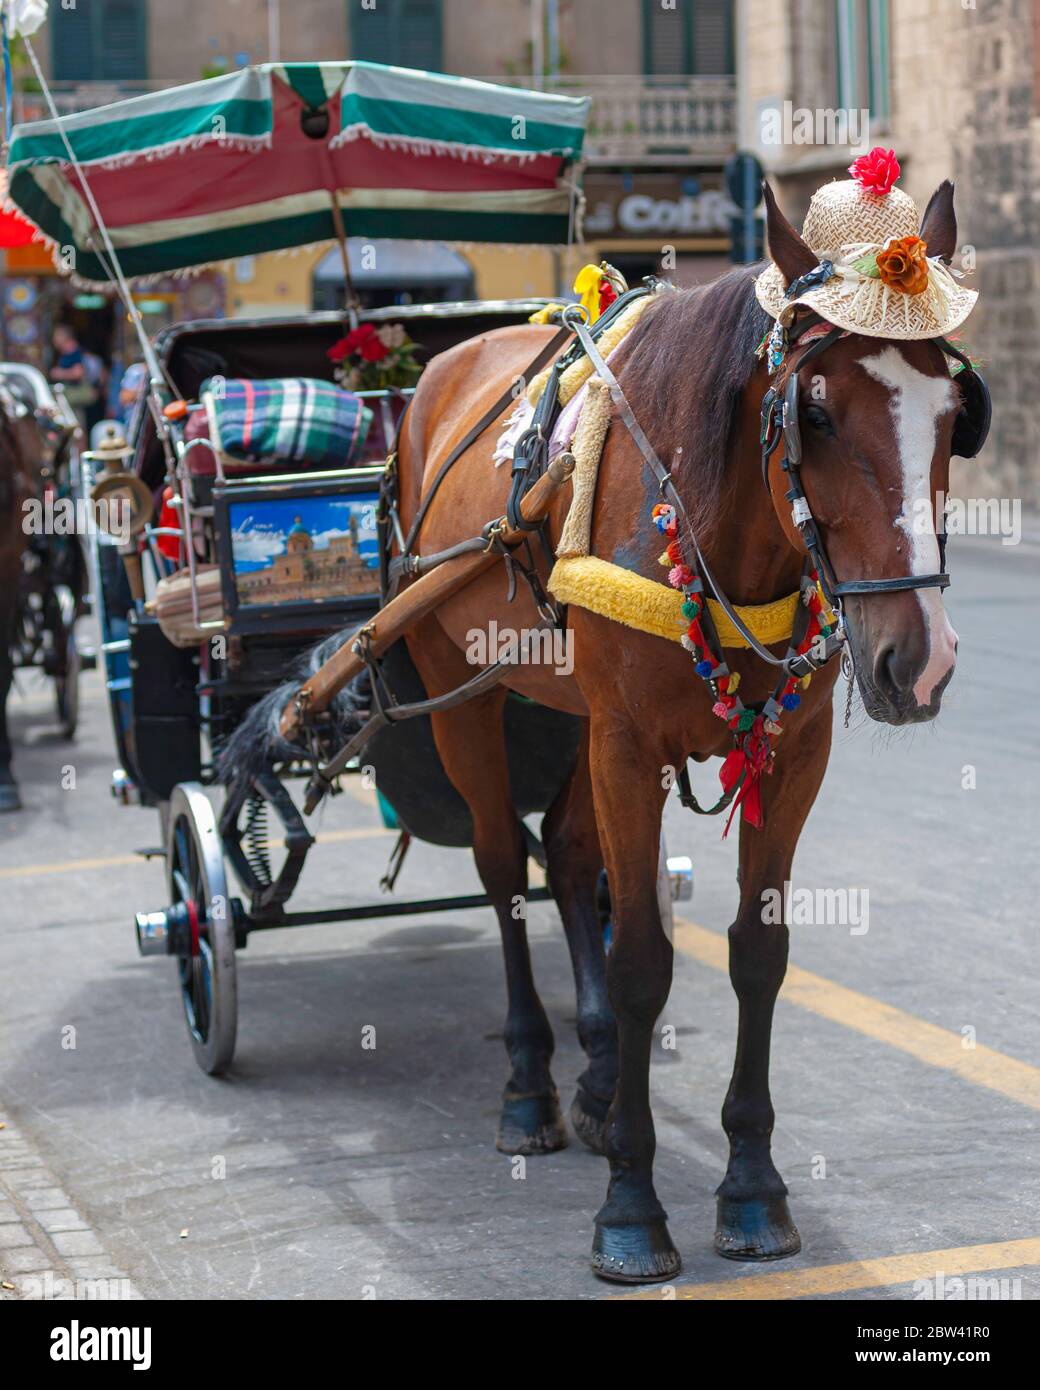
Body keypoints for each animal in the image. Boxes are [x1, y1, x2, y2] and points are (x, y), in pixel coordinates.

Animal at [383, 178, 974, 1282]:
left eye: (956, 417)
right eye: (814, 412)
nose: (917, 659)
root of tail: (443, 364)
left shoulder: (790, 754)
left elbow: (756, 952)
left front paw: (751, 1185)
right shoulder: (626, 745)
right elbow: (641, 963)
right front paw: (630, 1203)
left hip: (574, 711)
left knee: (569, 855)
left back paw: (595, 1073)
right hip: (461, 688)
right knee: (502, 866)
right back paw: (531, 1082)